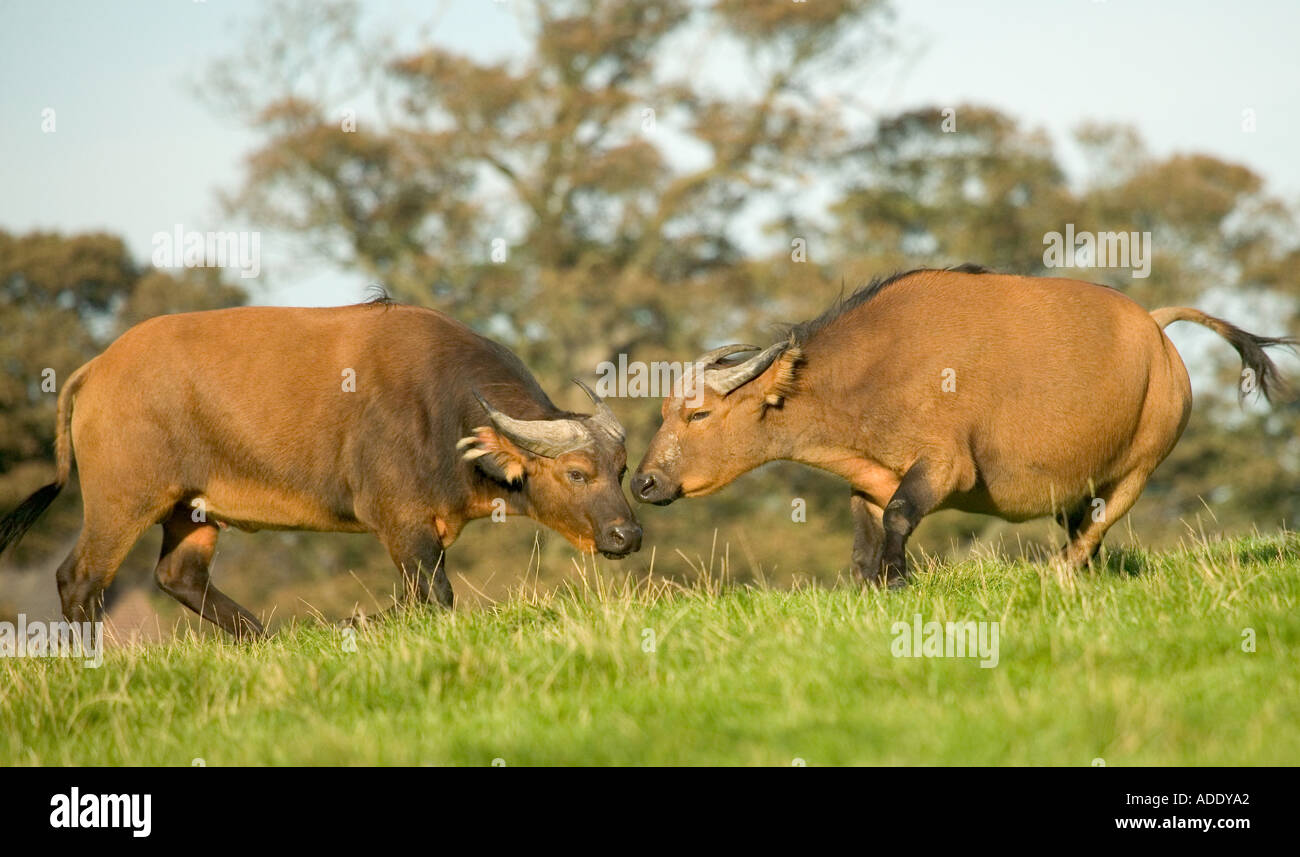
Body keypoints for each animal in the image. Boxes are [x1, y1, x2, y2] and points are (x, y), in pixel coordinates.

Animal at [0, 300, 641, 638]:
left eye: (622, 469)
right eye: (577, 473)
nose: (627, 535)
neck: (443, 409)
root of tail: (98, 368)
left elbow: (421, 598)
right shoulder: (402, 524)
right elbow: (433, 596)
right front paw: (352, 625)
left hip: (191, 510)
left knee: (179, 576)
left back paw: (263, 639)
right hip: (123, 502)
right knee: (80, 579)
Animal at [633, 266, 1295, 585]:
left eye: (698, 412)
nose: (643, 483)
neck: (877, 366)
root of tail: (1154, 327)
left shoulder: (943, 466)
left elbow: (901, 517)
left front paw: (898, 582)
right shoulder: (869, 479)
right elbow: (864, 547)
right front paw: (876, 584)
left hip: (1137, 471)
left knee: (1091, 535)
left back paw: (1055, 576)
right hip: (1078, 489)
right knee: (1087, 534)